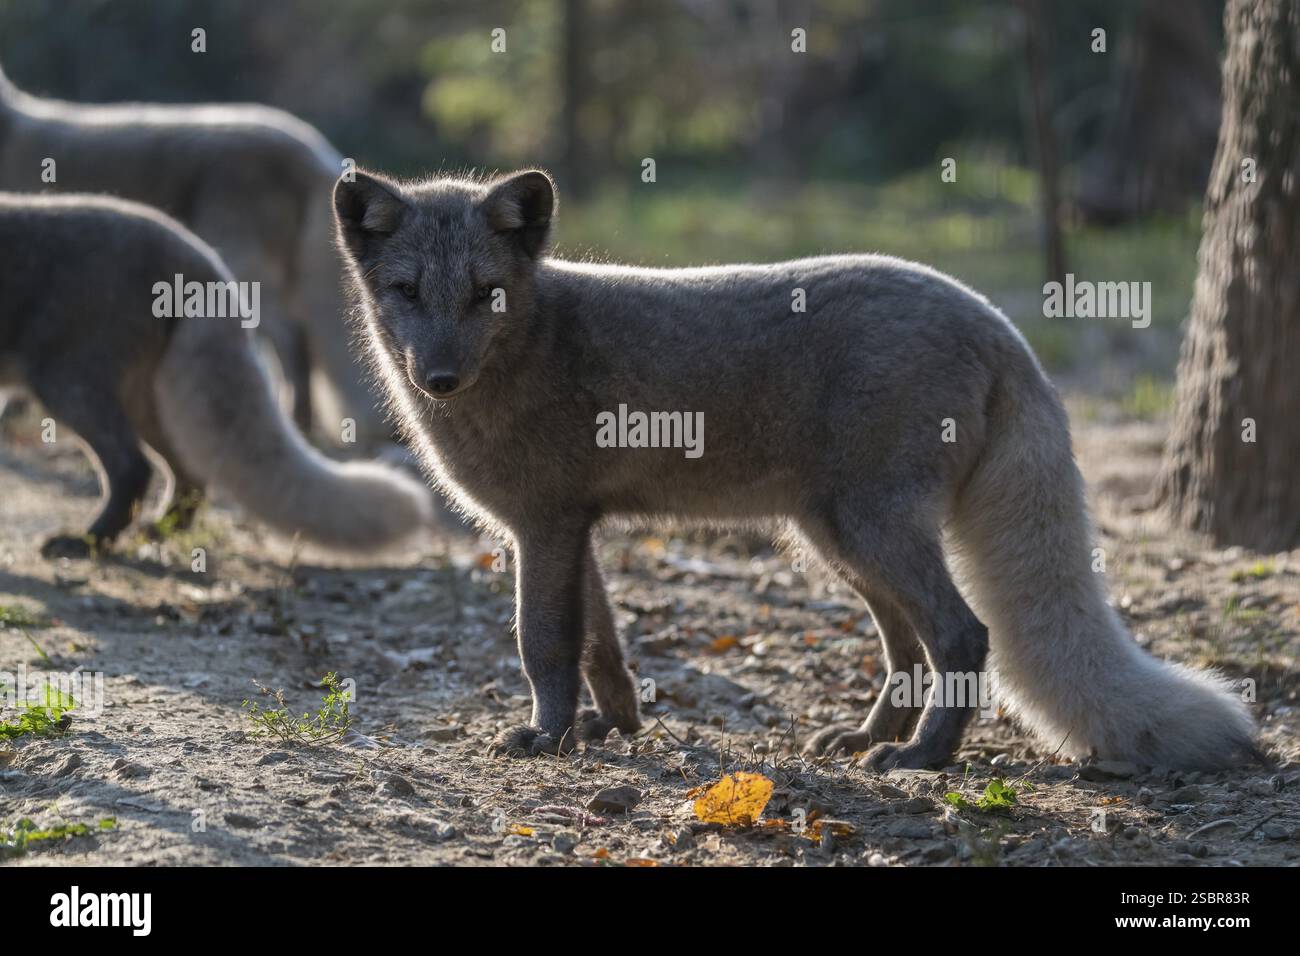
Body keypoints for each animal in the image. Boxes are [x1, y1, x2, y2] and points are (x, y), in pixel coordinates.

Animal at [0, 193, 432, 558]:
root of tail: (204, 261)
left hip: (69, 384)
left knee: (133, 467)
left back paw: (86, 542)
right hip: (144, 398)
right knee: (185, 471)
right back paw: (158, 529)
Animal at [333, 167, 1259, 772]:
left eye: (483, 292)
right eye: (407, 292)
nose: (438, 377)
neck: (532, 340)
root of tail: (1001, 326)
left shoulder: (544, 526)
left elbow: (544, 644)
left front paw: (549, 739)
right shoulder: (571, 528)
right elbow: (603, 645)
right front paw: (616, 727)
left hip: (868, 529)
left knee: (963, 635)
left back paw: (921, 760)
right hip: (834, 540)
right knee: (907, 648)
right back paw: (869, 739)